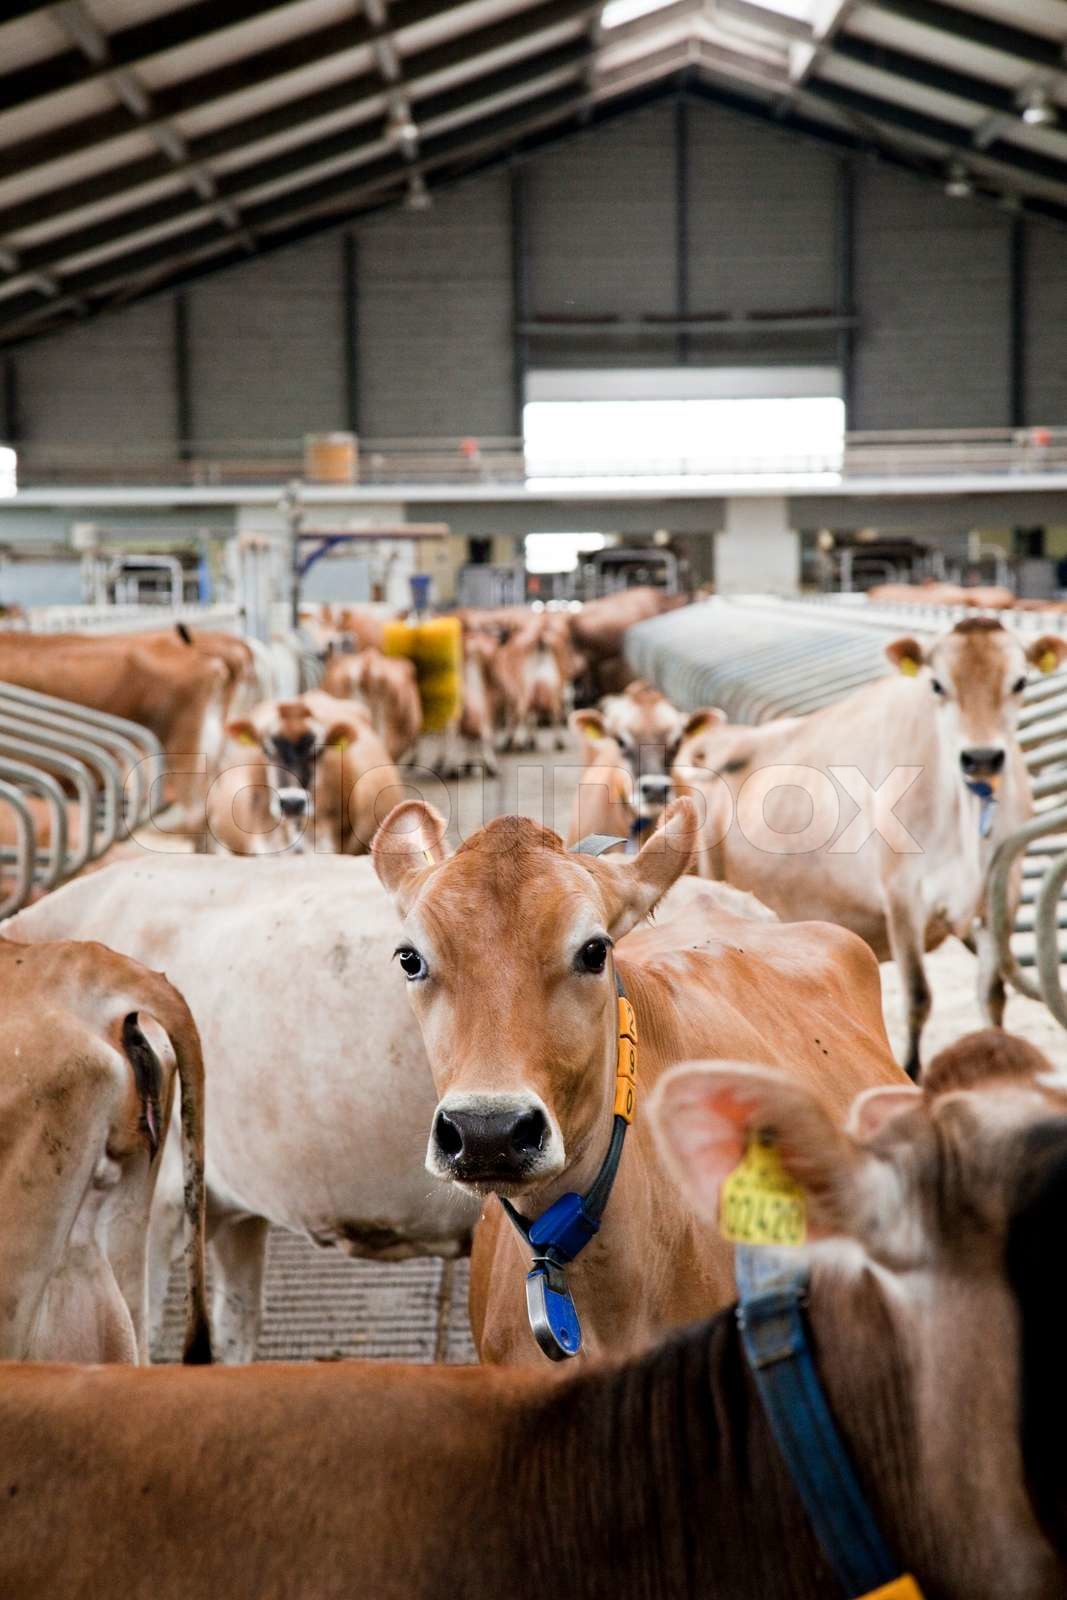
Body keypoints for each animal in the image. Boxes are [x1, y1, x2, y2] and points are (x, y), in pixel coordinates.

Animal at [671, 618, 1067, 1078]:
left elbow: (993, 993)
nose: (982, 757)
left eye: (1020, 682)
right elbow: (918, 995)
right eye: (937, 684)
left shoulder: (999, 895)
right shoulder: (902, 895)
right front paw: (909, 1070)